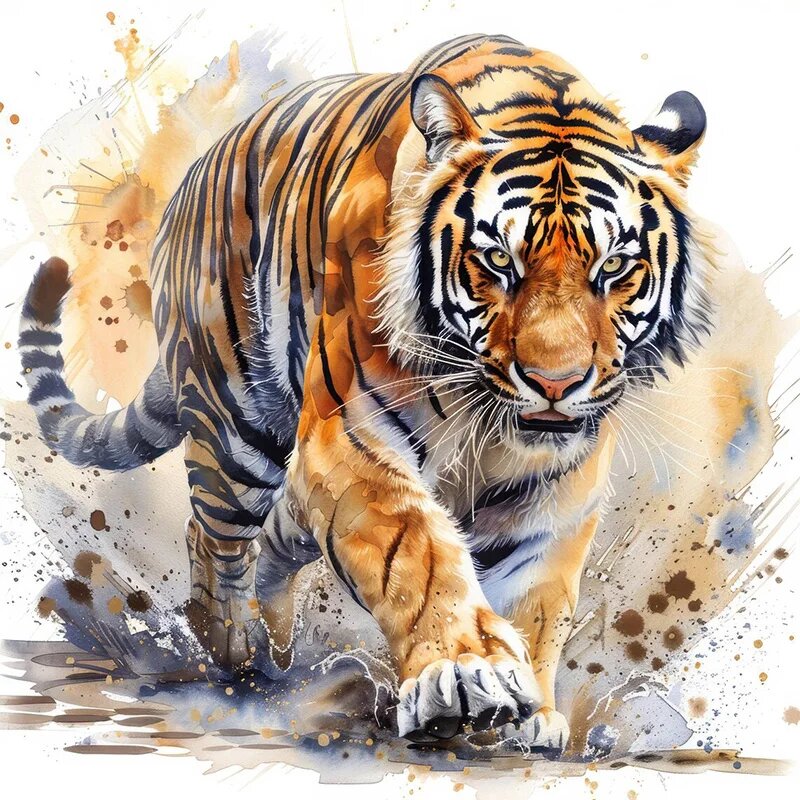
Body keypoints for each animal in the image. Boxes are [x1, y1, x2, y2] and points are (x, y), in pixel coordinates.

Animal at [18, 34, 712, 747]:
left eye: (615, 267)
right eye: (499, 261)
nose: (555, 382)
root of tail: (193, 178)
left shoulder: (557, 486)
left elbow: (538, 598)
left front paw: (535, 714)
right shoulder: (348, 440)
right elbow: (418, 551)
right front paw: (464, 672)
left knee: (277, 534)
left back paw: (278, 647)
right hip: (236, 424)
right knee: (214, 534)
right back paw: (234, 651)